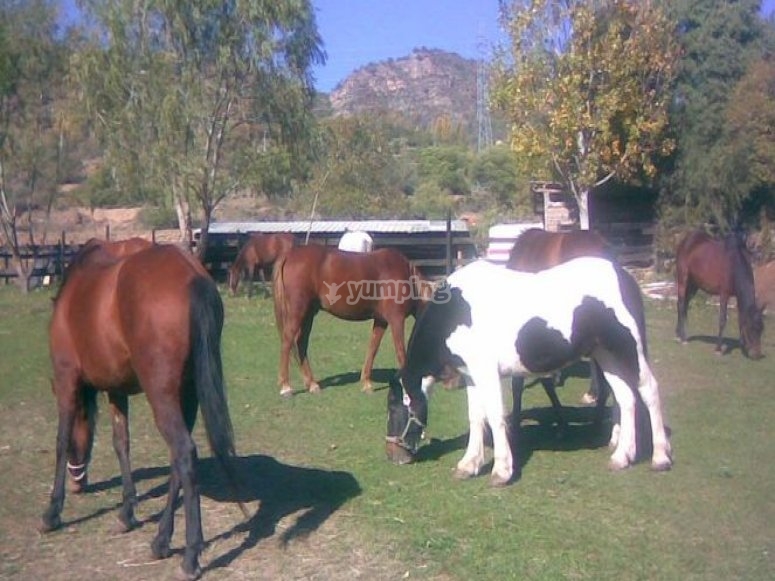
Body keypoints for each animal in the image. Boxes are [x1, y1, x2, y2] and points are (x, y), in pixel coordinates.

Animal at [42, 240, 244, 580]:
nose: (79, 483)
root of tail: (191, 273)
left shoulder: (67, 379)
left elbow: (60, 441)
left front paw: (52, 511)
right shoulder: (116, 390)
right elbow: (121, 444)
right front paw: (127, 512)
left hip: (162, 396)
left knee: (184, 453)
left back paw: (190, 555)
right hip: (185, 394)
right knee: (179, 459)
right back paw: (161, 540)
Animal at [273, 244, 429, 395]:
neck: (408, 276)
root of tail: (290, 255)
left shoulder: (381, 321)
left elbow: (373, 348)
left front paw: (366, 383)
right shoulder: (396, 319)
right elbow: (401, 352)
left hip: (309, 314)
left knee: (301, 343)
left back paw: (312, 384)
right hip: (298, 312)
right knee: (287, 341)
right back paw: (286, 387)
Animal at [386, 258, 672, 486]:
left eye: (394, 408)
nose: (391, 454)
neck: (455, 312)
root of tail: (624, 276)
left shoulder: (487, 373)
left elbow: (495, 416)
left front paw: (501, 471)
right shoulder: (472, 375)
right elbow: (475, 418)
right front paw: (469, 465)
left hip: (628, 349)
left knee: (649, 392)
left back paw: (660, 458)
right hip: (606, 356)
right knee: (626, 399)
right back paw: (622, 457)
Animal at [675, 229, 764, 359]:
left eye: (761, 329)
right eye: (751, 328)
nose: (756, 354)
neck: (734, 262)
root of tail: (686, 240)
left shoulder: (737, 296)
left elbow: (740, 318)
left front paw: (742, 344)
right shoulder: (724, 294)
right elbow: (722, 320)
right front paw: (718, 349)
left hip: (694, 284)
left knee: (683, 304)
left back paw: (678, 334)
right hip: (683, 279)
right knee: (681, 304)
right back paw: (683, 338)